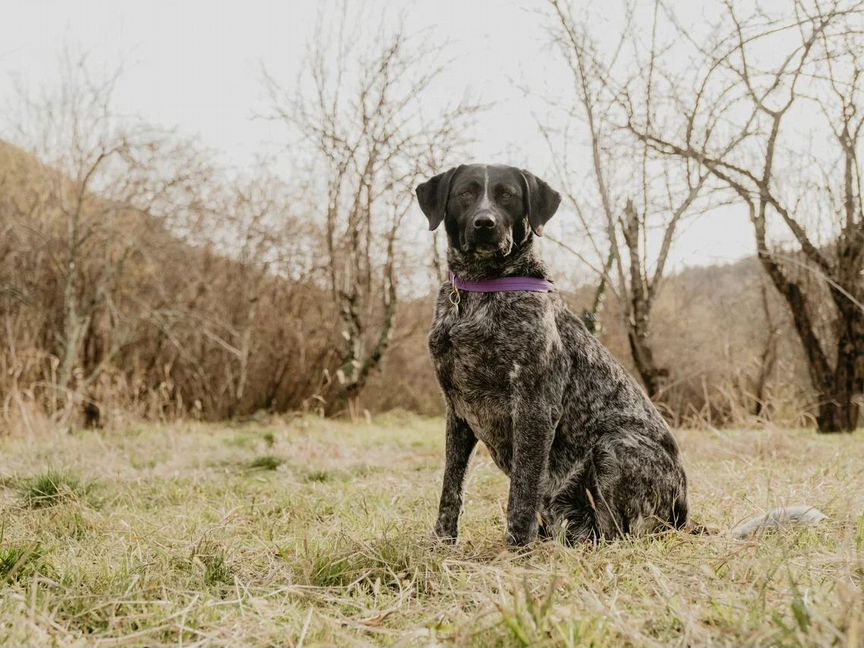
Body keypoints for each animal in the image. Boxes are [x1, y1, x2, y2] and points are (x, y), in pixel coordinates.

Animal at [416, 163, 692, 548]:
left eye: (508, 195)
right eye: (464, 193)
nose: (485, 224)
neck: (480, 289)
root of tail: (684, 516)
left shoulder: (534, 406)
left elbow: (523, 489)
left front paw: (517, 547)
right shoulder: (456, 410)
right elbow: (451, 487)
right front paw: (442, 543)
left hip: (613, 446)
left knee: (616, 531)